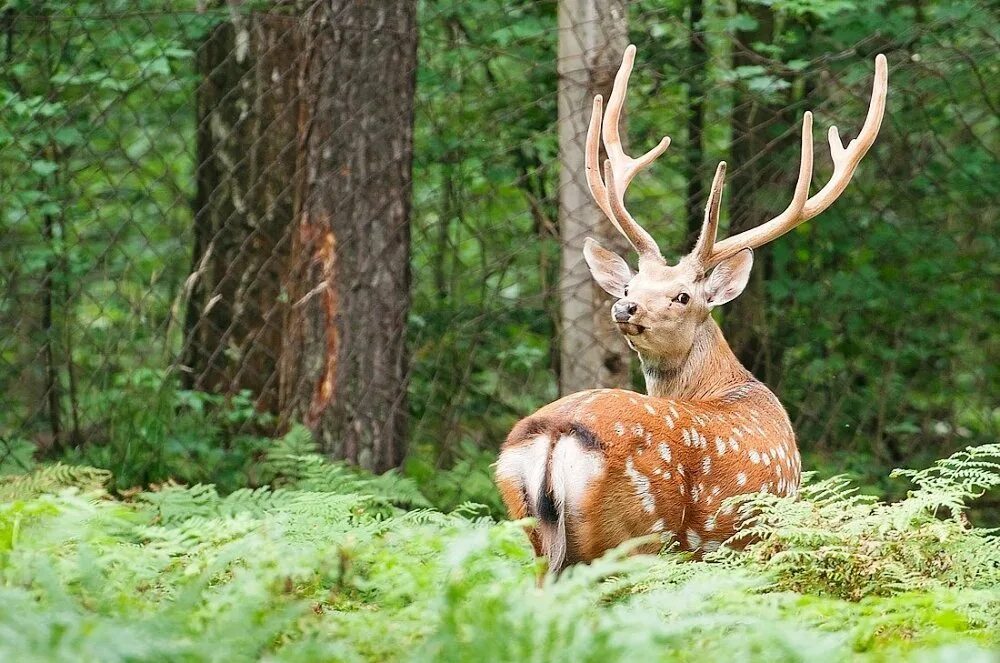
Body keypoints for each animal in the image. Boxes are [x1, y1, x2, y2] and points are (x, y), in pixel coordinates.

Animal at [496, 45, 888, 576]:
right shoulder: (764, 537)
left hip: (535, 536)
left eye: (682, 296)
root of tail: (555, 436)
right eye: (633, 284)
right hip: (635, 536)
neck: (730, 386)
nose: (625, 305)